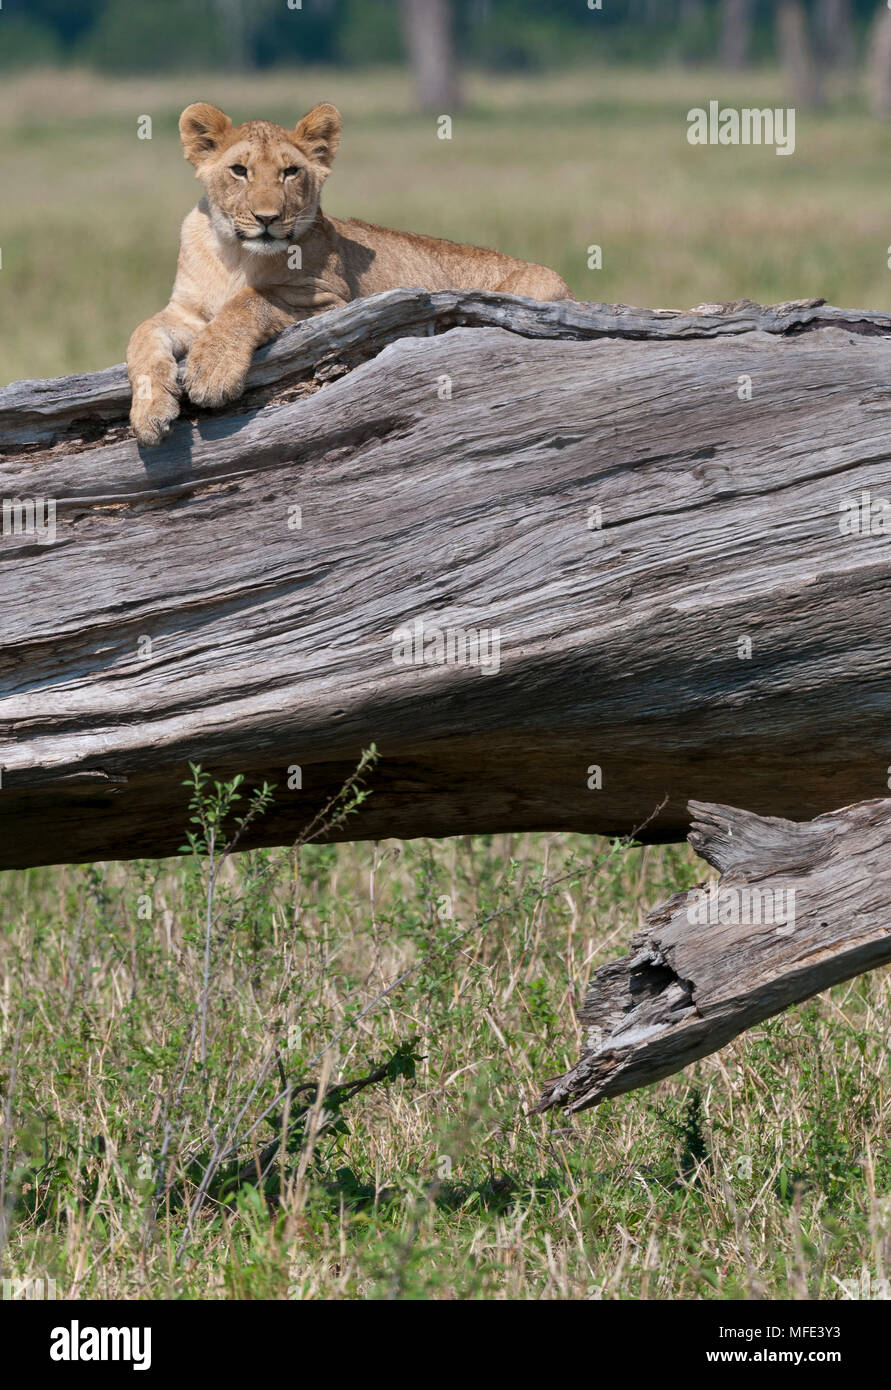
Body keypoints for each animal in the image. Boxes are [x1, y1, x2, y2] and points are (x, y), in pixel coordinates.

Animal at [126, 101, 573, 445]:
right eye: (239, 170)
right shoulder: (186, 313)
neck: (237, 256)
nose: (267, 218)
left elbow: (251, 300)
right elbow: (141, 335)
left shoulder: (330, 301)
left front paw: (212, 371)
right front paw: (149, 413)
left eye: (290, 172)